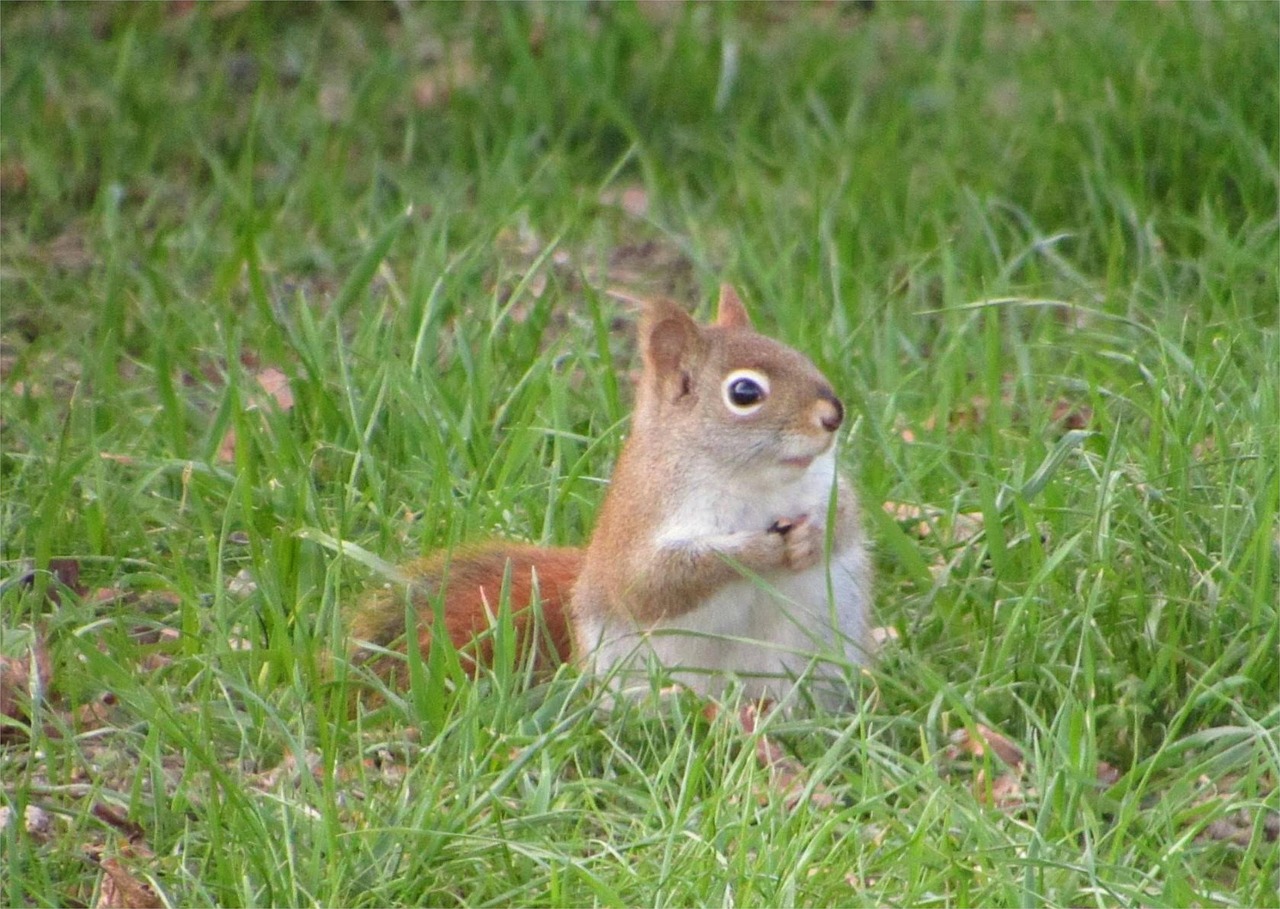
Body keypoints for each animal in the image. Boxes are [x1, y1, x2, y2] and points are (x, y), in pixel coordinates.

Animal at [348, 285, 873, 709]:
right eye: (744, 392)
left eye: (798, 353)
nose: (833, 415)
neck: (752, 478)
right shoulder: (640, 525)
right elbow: (659, 580)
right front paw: (754, 551)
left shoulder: (828, 486)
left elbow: (845, 517)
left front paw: (813, 537)